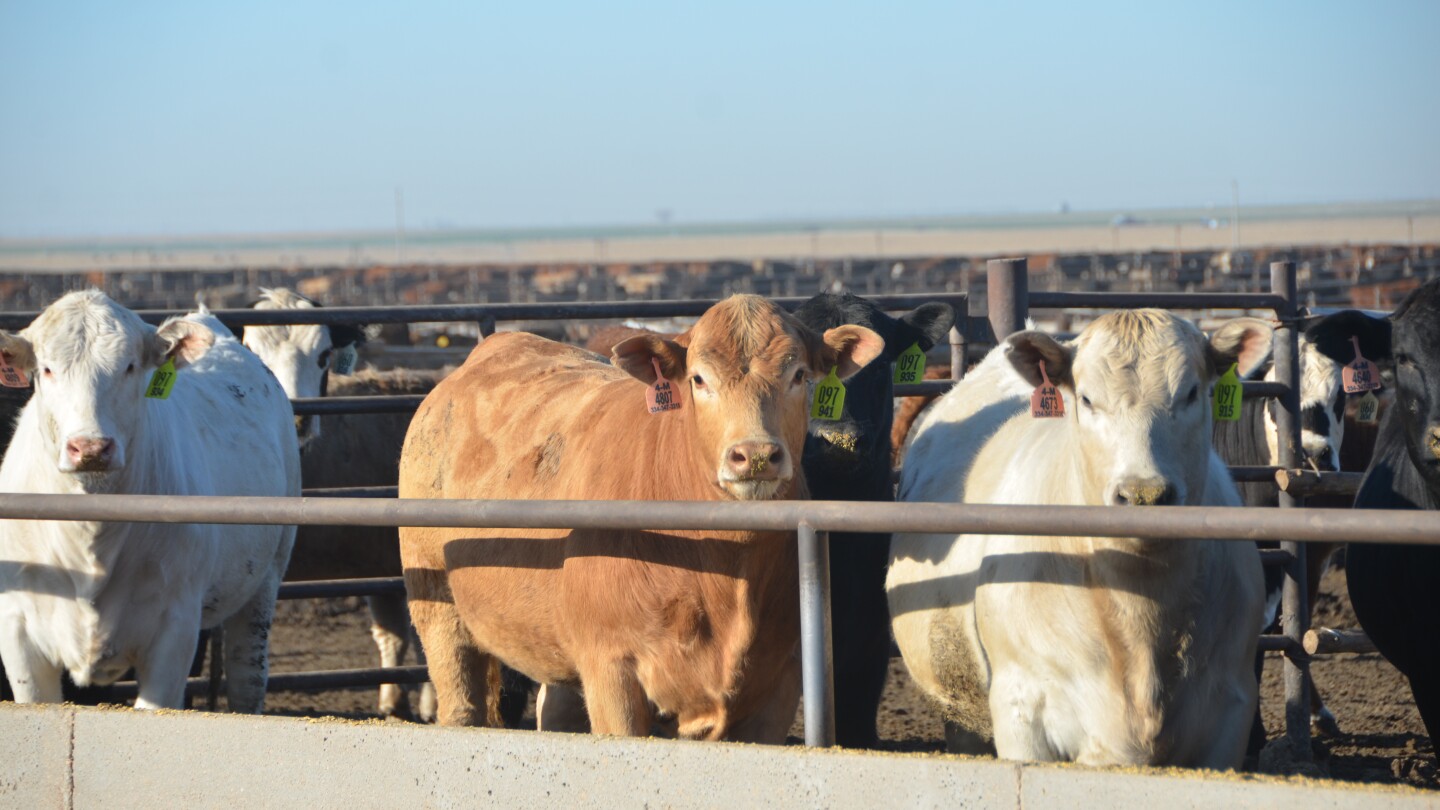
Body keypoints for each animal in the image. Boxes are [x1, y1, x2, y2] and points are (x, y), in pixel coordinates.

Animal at [0, 290, 299, 711]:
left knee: (247, 679)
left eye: (129, 366)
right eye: (45, 369)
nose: (90, 447)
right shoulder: (17, 629)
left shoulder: (174, 630)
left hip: (264, 584)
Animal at [399, 294, 883, 740]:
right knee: (461, 703)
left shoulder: (777, 684)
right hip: (437, 608)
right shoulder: (611, 671)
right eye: (698, 379)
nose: (756, 455)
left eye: (799, 375)